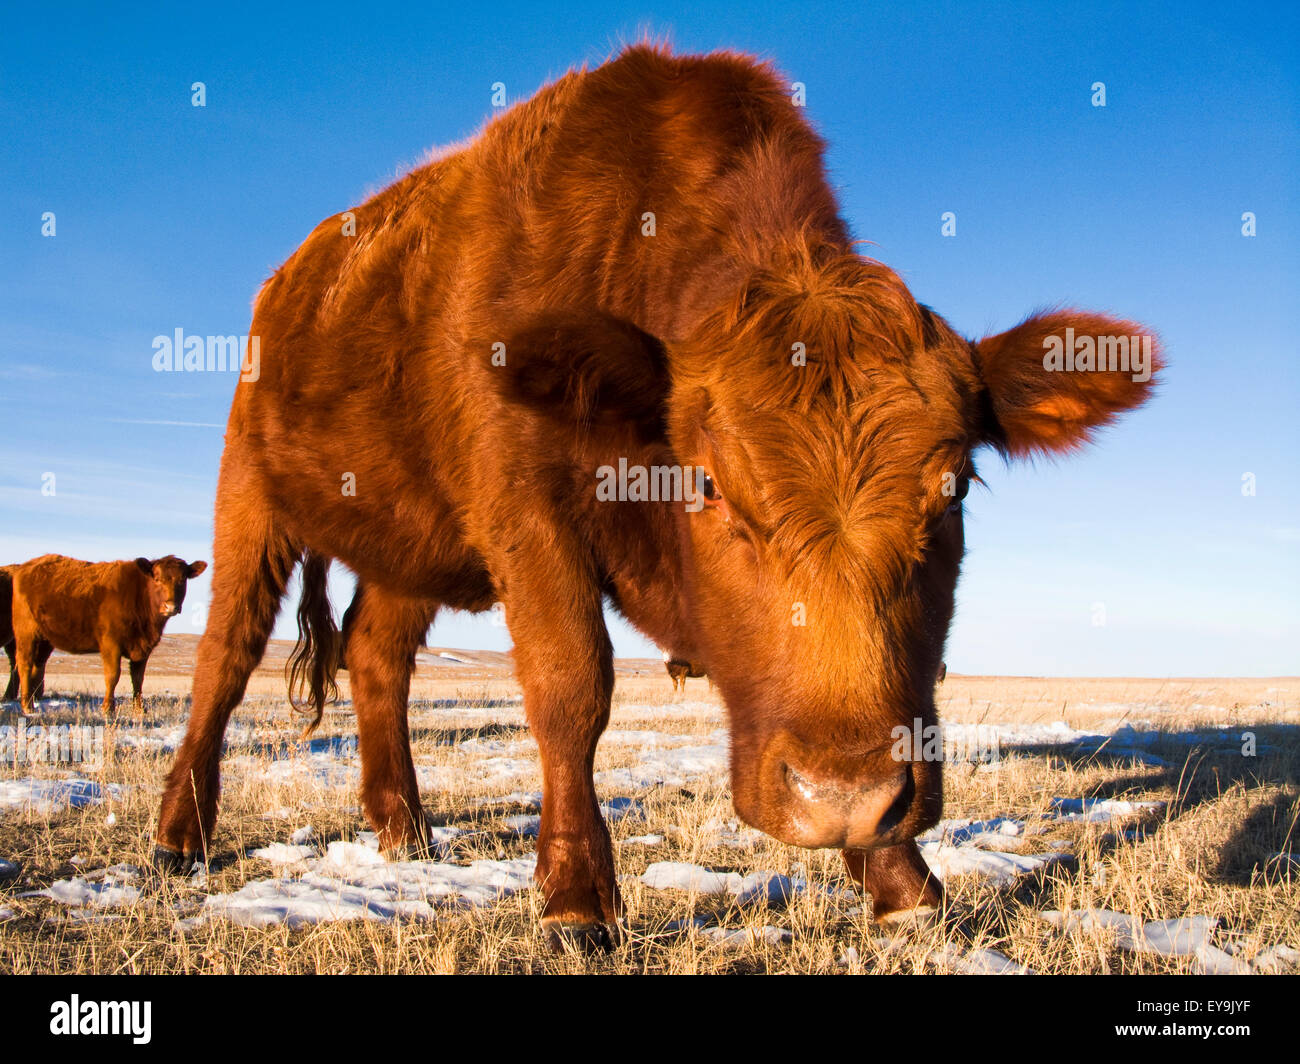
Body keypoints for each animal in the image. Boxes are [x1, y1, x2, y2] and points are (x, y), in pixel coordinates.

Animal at [10, 554, 207, 714]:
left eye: (182, 580)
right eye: (157, 578)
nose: (170, 606)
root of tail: (25, 568)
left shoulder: (143, 649)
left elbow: (138, 679)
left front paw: (139, 710)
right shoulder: (111, 644)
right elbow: (113, 675)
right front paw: (108, 708)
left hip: (44, 639)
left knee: (37, 666)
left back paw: (33, 701)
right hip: (26, 633)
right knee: (25, 664)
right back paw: (27, 706)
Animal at [152, 45, 1159, 949]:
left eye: (955, 487)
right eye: (708, 485)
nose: (845, 795)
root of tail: (294, 277)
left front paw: (902, 884)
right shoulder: (529, 518)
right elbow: (573, 687)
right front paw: (575, 902)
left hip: (409, 547)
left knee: (374, 656)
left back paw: (404, 831)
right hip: (252, 498)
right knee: (227, 654)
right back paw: (178, 837)